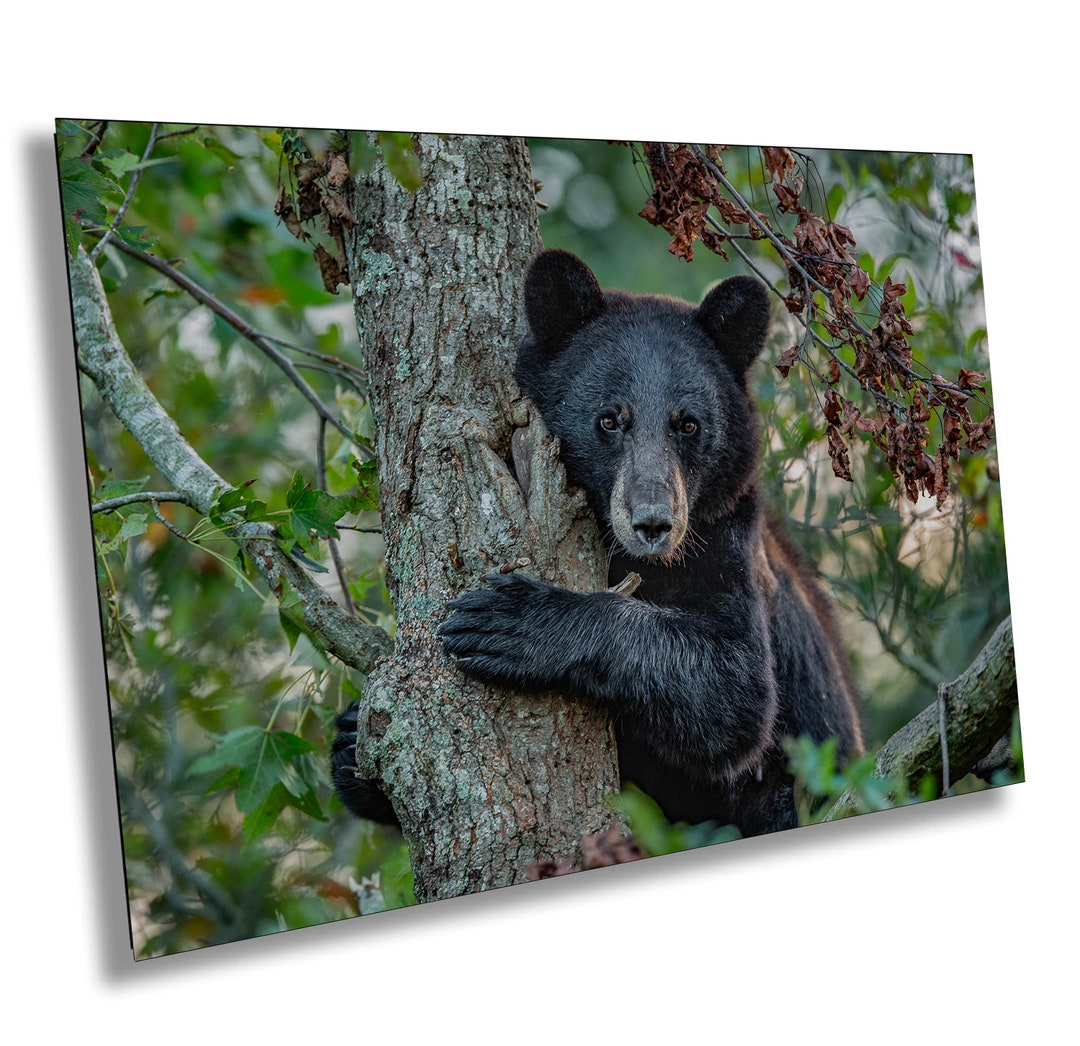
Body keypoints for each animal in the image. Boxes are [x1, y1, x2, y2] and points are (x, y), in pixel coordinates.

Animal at [333, 248, 862, 838]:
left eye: (689, 424)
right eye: (609, 419)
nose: (653, 523)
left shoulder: (727, 542)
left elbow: (737, 690)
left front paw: (510, 620)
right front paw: (350, 741)